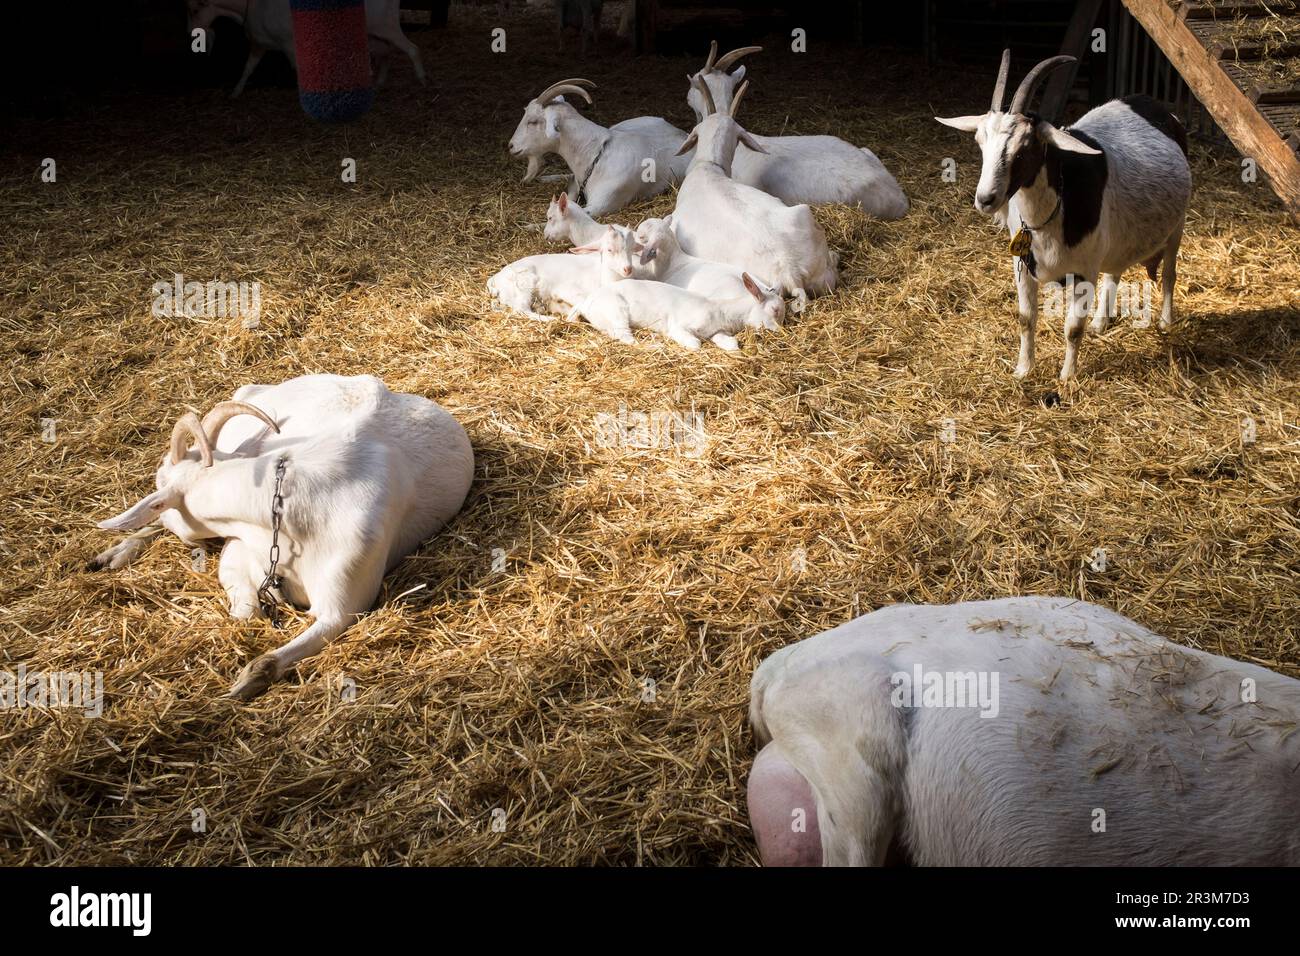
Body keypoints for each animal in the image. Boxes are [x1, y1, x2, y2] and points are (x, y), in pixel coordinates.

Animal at [90, 374, 473, 700]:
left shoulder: (344, 601)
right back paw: (113, 554)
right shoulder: (241, 547)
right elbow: (246, 611)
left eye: (160, 481)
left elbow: (269, 658)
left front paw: (239, 687)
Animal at [487, 224, 641, 321]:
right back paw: (548, 319)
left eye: (632, 249)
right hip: (524, 284)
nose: (627, 269)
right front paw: (572, 315)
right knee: (521, 309)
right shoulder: (566, 289)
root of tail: (495, 278)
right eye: (609, 249)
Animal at [567, 272, 783, 350]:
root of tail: (585, 303)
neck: (719, 310)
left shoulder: (716, 331)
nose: (781, 332)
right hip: (615, 311)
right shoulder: (680, 325)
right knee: (626, 337)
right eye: (775, 310)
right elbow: (695, 344)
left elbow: (731, 344)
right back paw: (655, 345)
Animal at [936, 51, 1191, 380]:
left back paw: (1165, 321)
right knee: (1115, 271)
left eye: (1026, 146)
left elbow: (1072, 329)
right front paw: (1023, 370)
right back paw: (1100, 322)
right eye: (980, 142)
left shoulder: (1083, 270)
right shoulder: (1022, 265)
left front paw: (1068, 377)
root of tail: (1154, 105)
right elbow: (1025, 318)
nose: (985, 199)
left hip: (1177, 225)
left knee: (1170, 273)